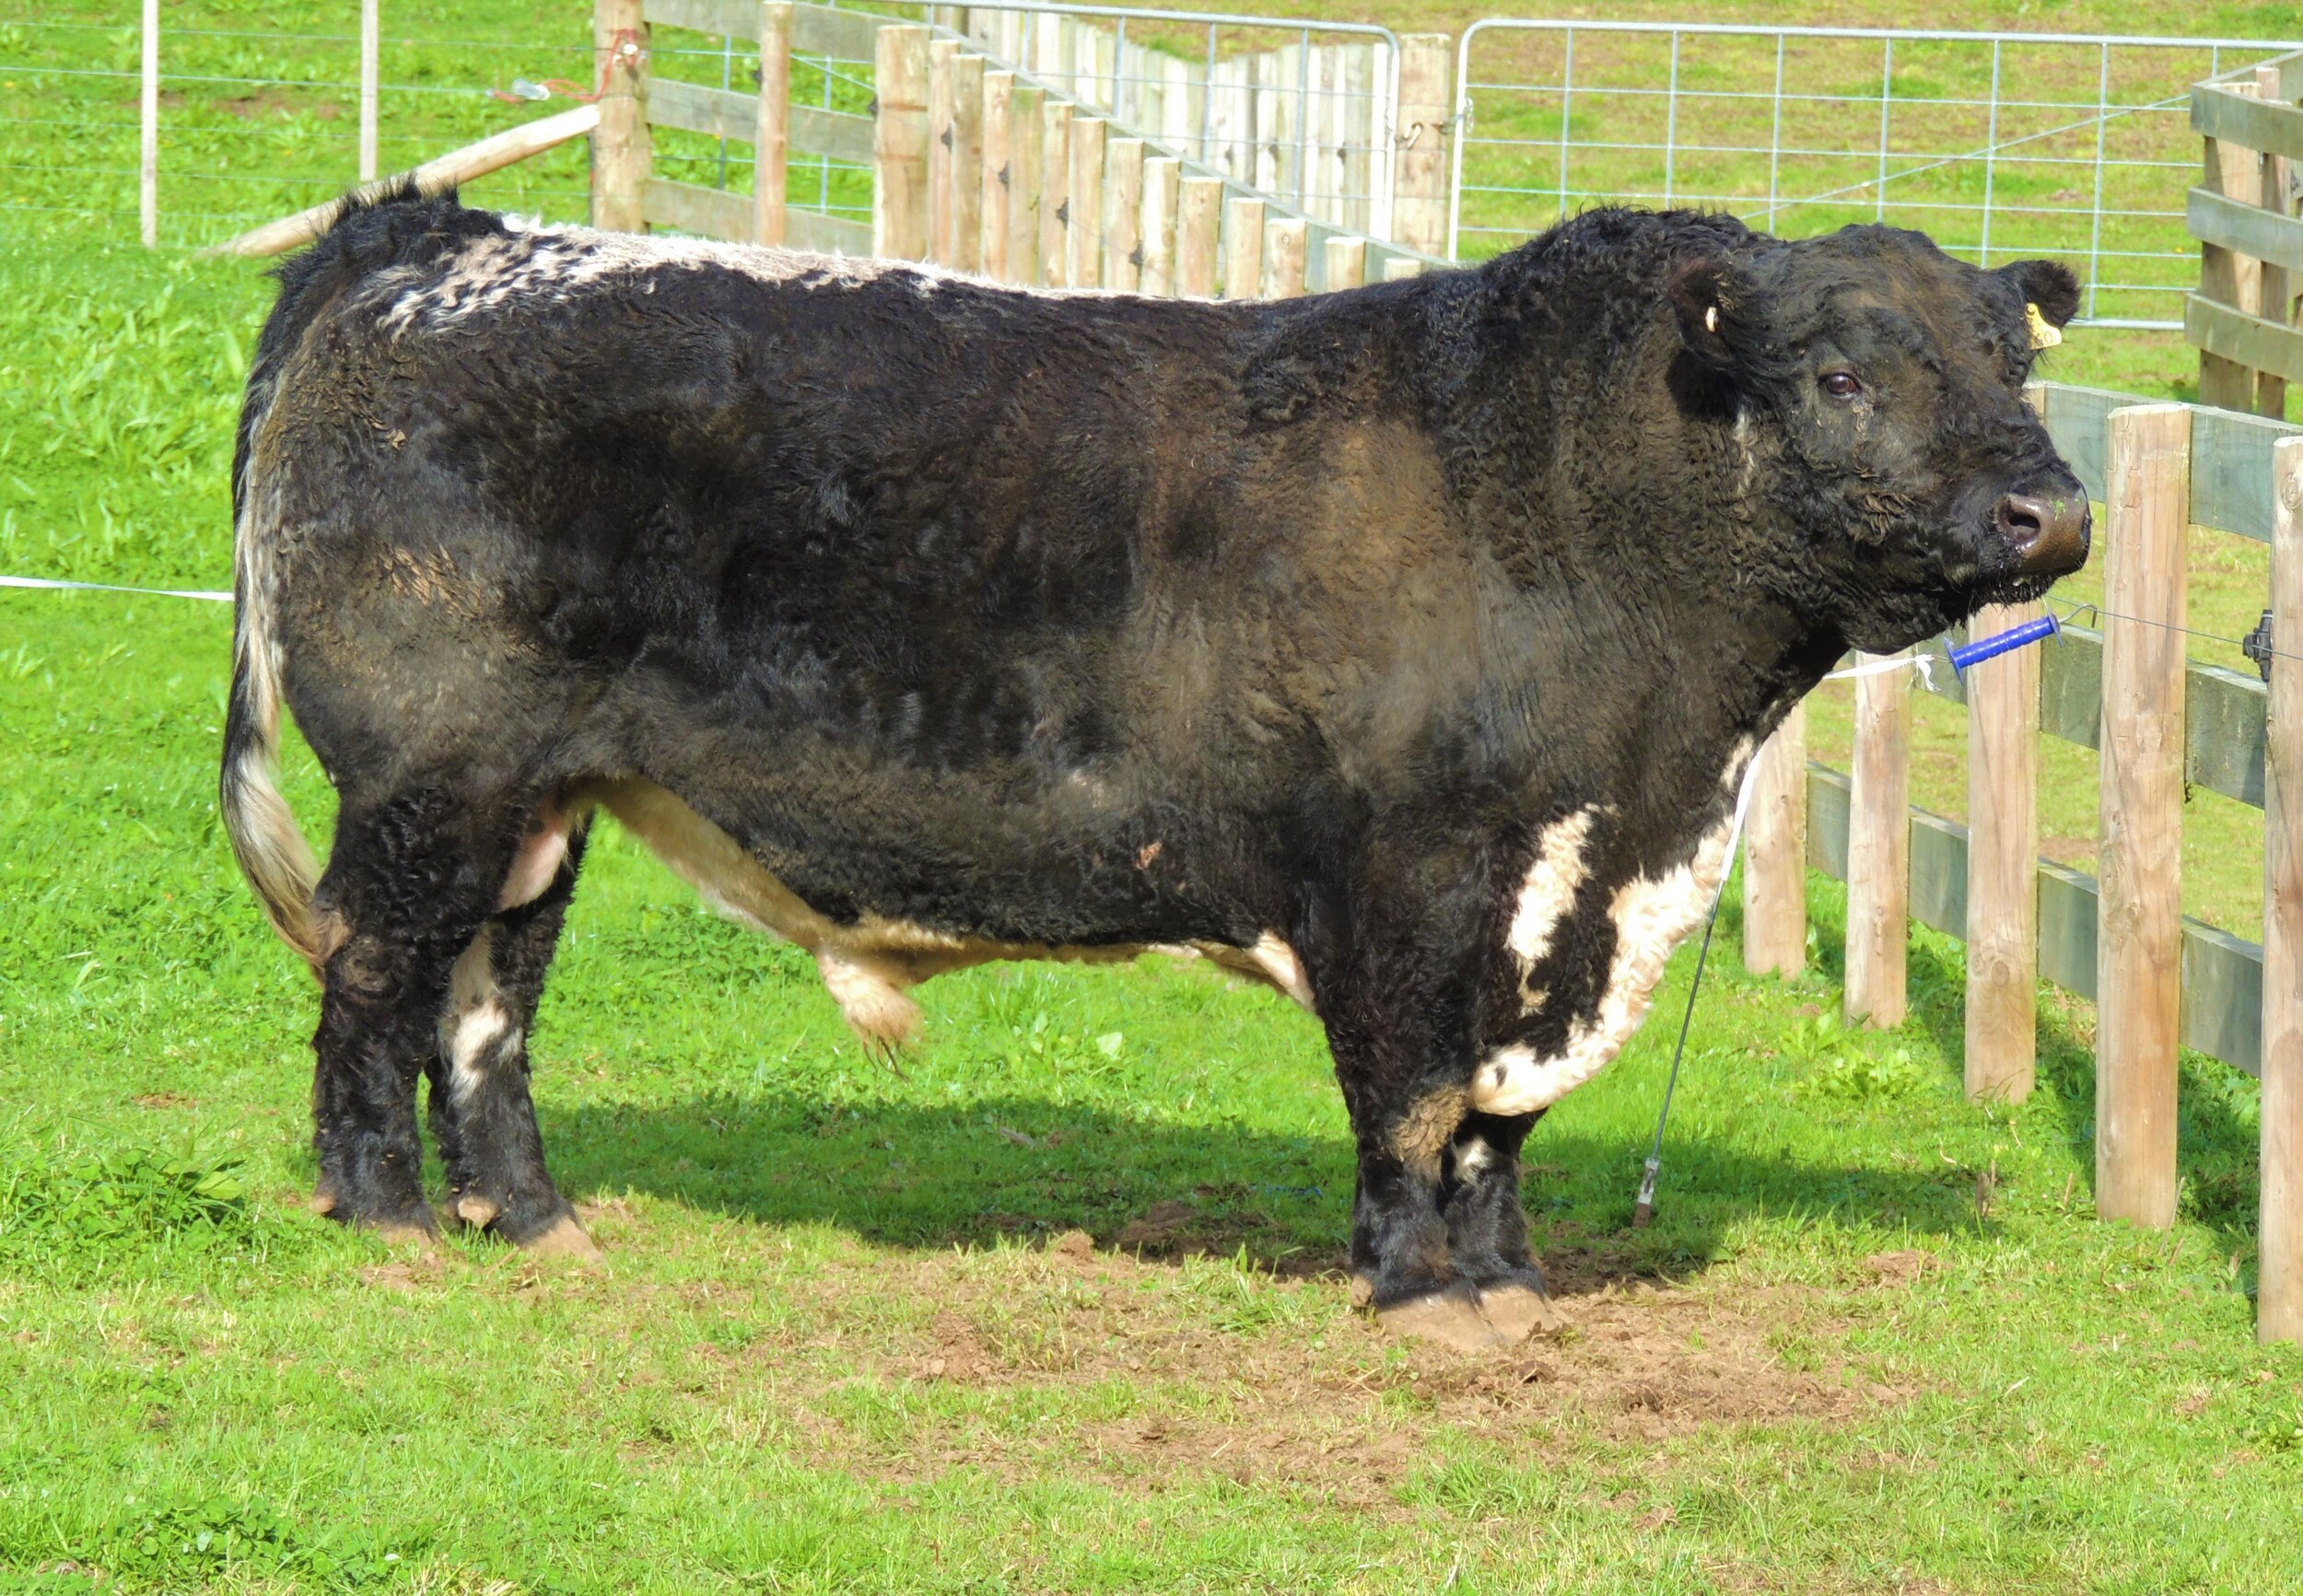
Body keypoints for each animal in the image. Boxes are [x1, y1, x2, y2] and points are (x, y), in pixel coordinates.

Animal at [222, 186, 2088, 1350]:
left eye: (2012, 361)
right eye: (1839, 373)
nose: (2048, 512)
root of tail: (437, 235)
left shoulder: (1558, 895)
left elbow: (1498, 1121)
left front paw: (1507, 1283)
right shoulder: (1402, 878)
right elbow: (1416, 1093)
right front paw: (1420, 1294)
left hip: (539, 801)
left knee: (487, 1006)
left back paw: (535, 1220)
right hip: (431, 779)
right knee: (376, 985)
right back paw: (387, 1222)